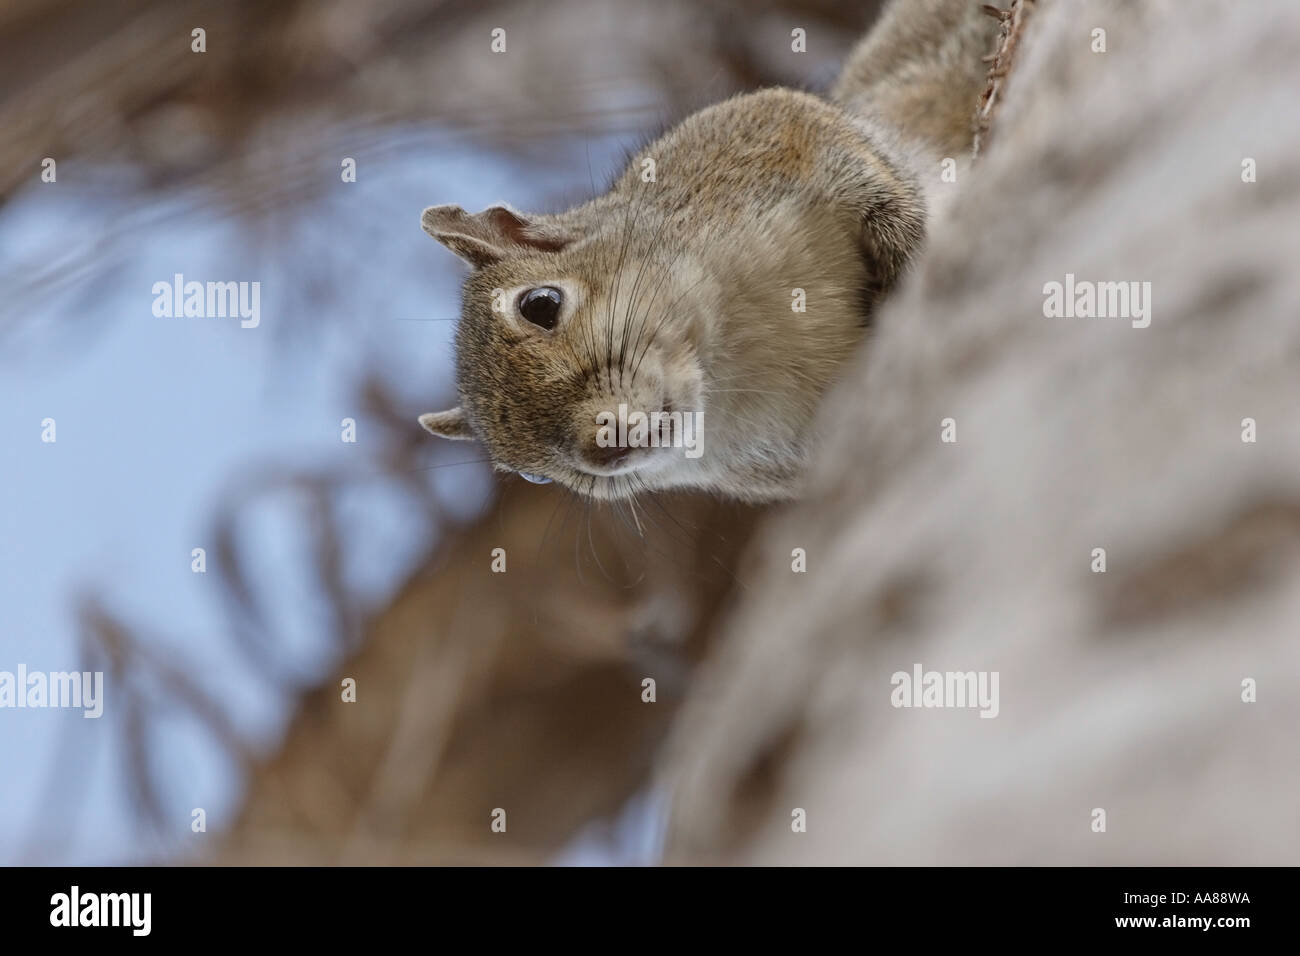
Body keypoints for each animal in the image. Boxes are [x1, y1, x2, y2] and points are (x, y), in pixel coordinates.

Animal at [418, 0, 998, 503]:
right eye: (527, 472)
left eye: (540, 304)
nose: (605, 452)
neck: (731, 341)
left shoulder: (779, 135)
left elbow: (884, 190)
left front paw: (906, 249)